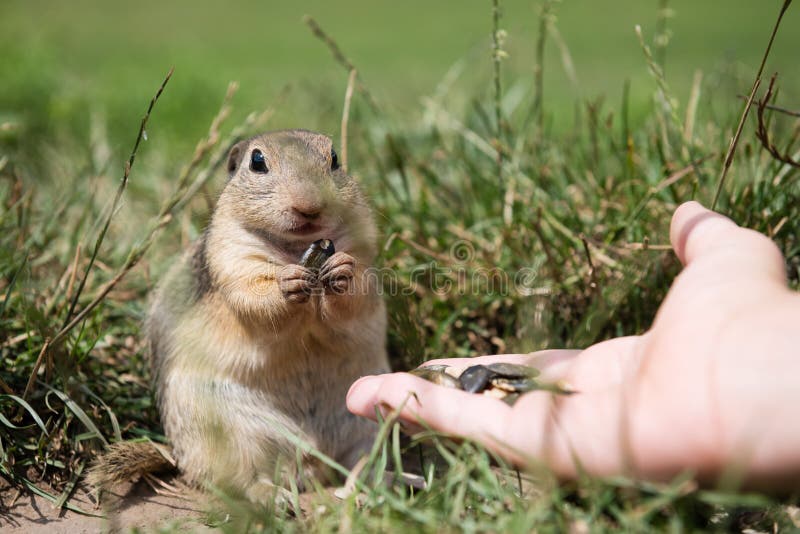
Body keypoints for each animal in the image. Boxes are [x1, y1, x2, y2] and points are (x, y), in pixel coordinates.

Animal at [90, 131, 390, 506]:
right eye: (257, 161)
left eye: (334, 158)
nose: (309, 206)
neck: (297, 248)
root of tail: (309, 461)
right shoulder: (231, 256)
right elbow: (253, 296)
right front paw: (286, 283)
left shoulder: (365, 245)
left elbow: (361, 296)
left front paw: (343, 271)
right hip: (231, 434)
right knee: (242, 479)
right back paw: (275, 496)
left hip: (370, 422)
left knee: (363, 460)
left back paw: (366, 490)